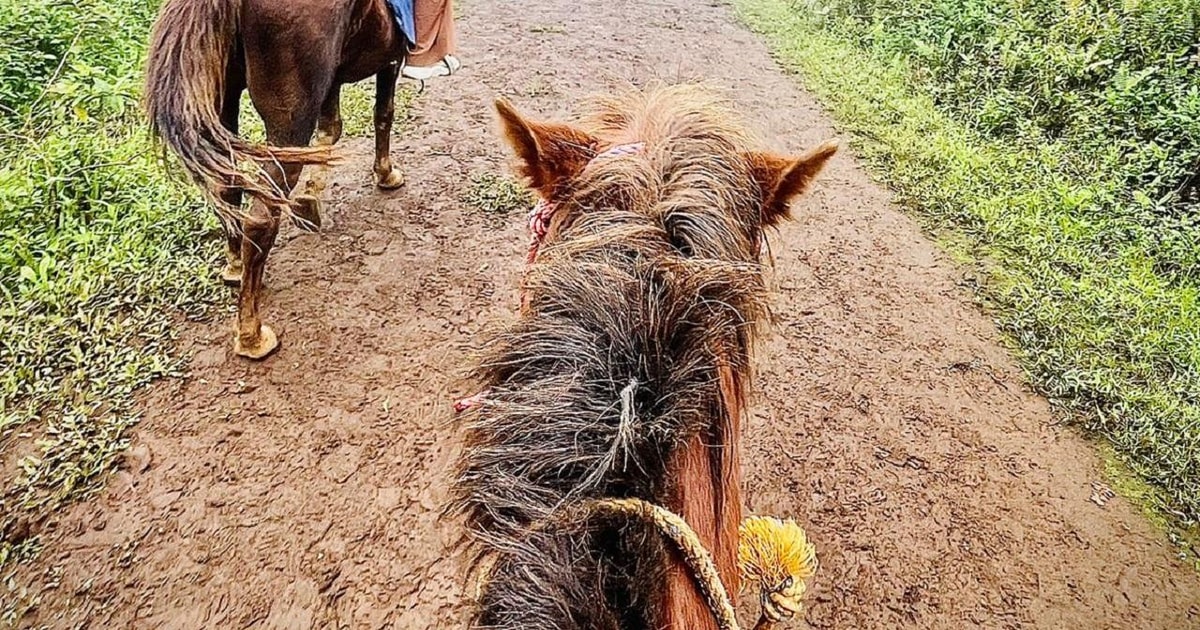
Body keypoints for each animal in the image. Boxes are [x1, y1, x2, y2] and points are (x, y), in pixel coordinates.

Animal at [143, 0, 410, 359]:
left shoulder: (332, 76)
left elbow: (331, 128)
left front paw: (308, 203)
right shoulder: (390, 60)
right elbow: (383, 114)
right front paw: (386, 174)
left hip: (225, 98)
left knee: (228, 187)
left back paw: (236, 267)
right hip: (288, 124)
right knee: (260, 217)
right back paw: (252, 336)